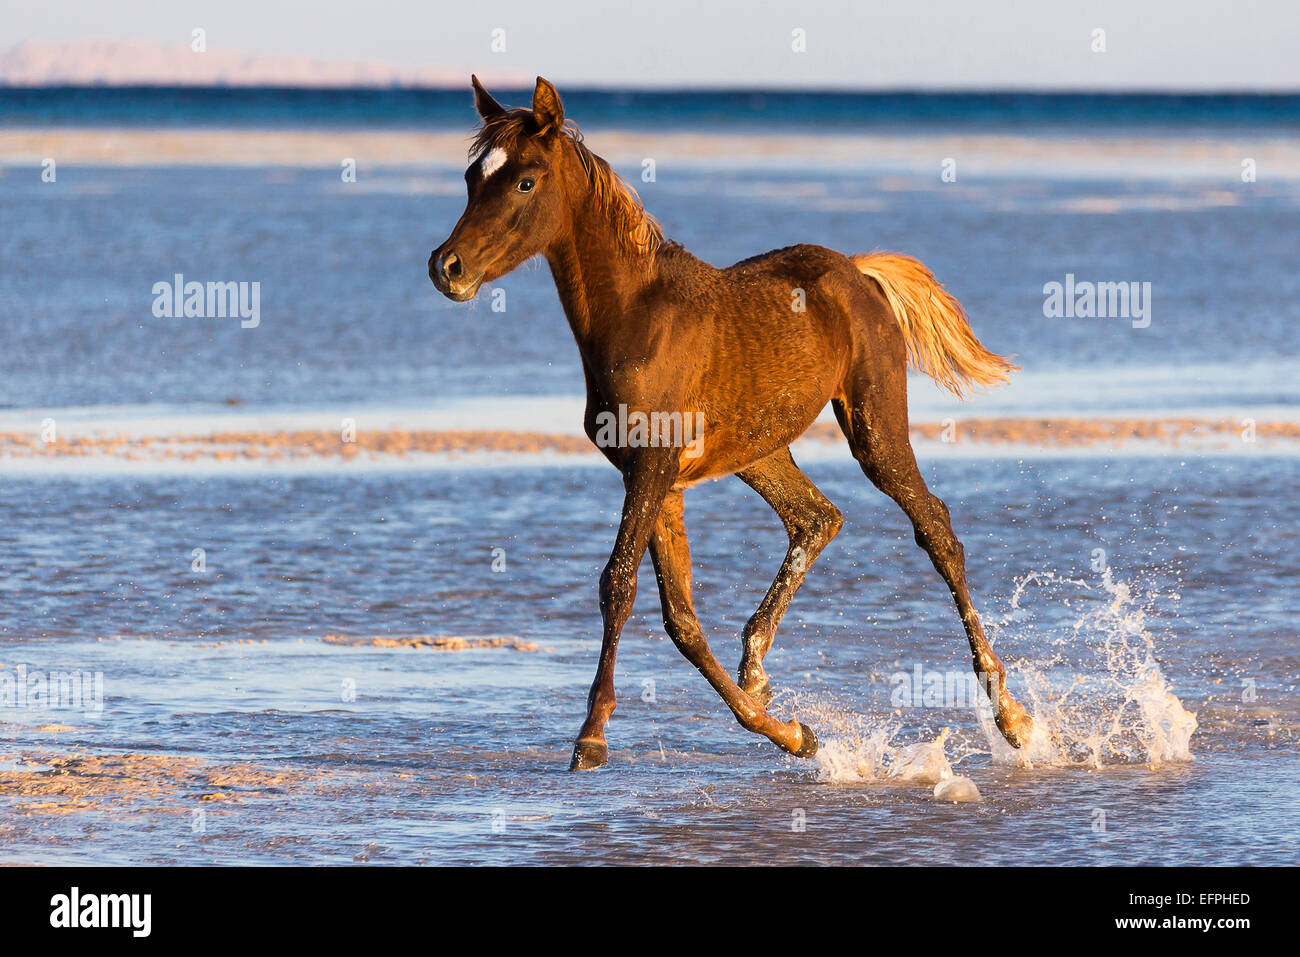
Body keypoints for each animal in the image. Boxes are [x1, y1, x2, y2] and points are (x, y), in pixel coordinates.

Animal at [429, 76, 1034, 771]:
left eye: (526, 181)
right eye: (472, 175)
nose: (446, 267)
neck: (635, 318)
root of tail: (858, 271)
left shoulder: (652, 466)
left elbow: (618, 585)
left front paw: (592, 736)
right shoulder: (655, 476)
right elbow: (681, 617)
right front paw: (790, 731)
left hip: (874, 426)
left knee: (935, 528)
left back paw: (1012, 715)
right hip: (759, 450)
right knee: (817, 518)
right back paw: (757, 665)